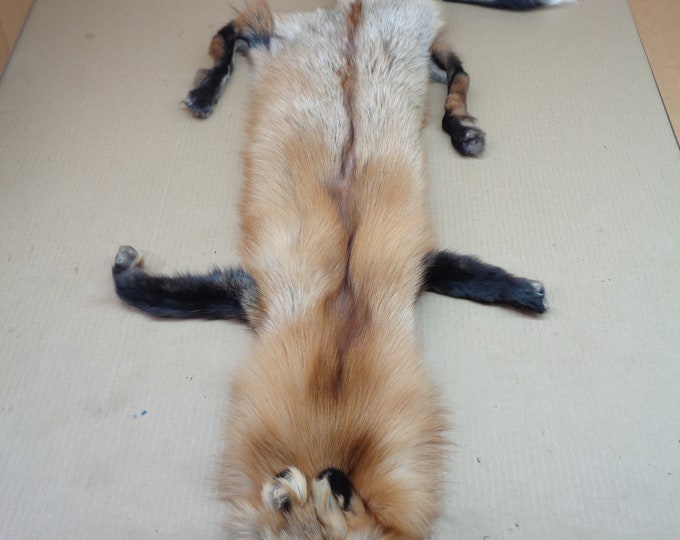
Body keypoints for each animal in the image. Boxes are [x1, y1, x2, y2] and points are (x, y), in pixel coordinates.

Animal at [112, 0, 552, 537]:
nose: (294, 480)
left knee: (457, 71)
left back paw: (463, 128)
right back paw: (205, 90)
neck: (340, 337)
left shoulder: (413, 267)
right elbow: (159, 297)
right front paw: (126, 268)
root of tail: (355, 10)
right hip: (284, 37)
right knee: (235, 29)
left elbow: (474, 275)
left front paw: (527, 292)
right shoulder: (261, 292)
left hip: (414, 43)